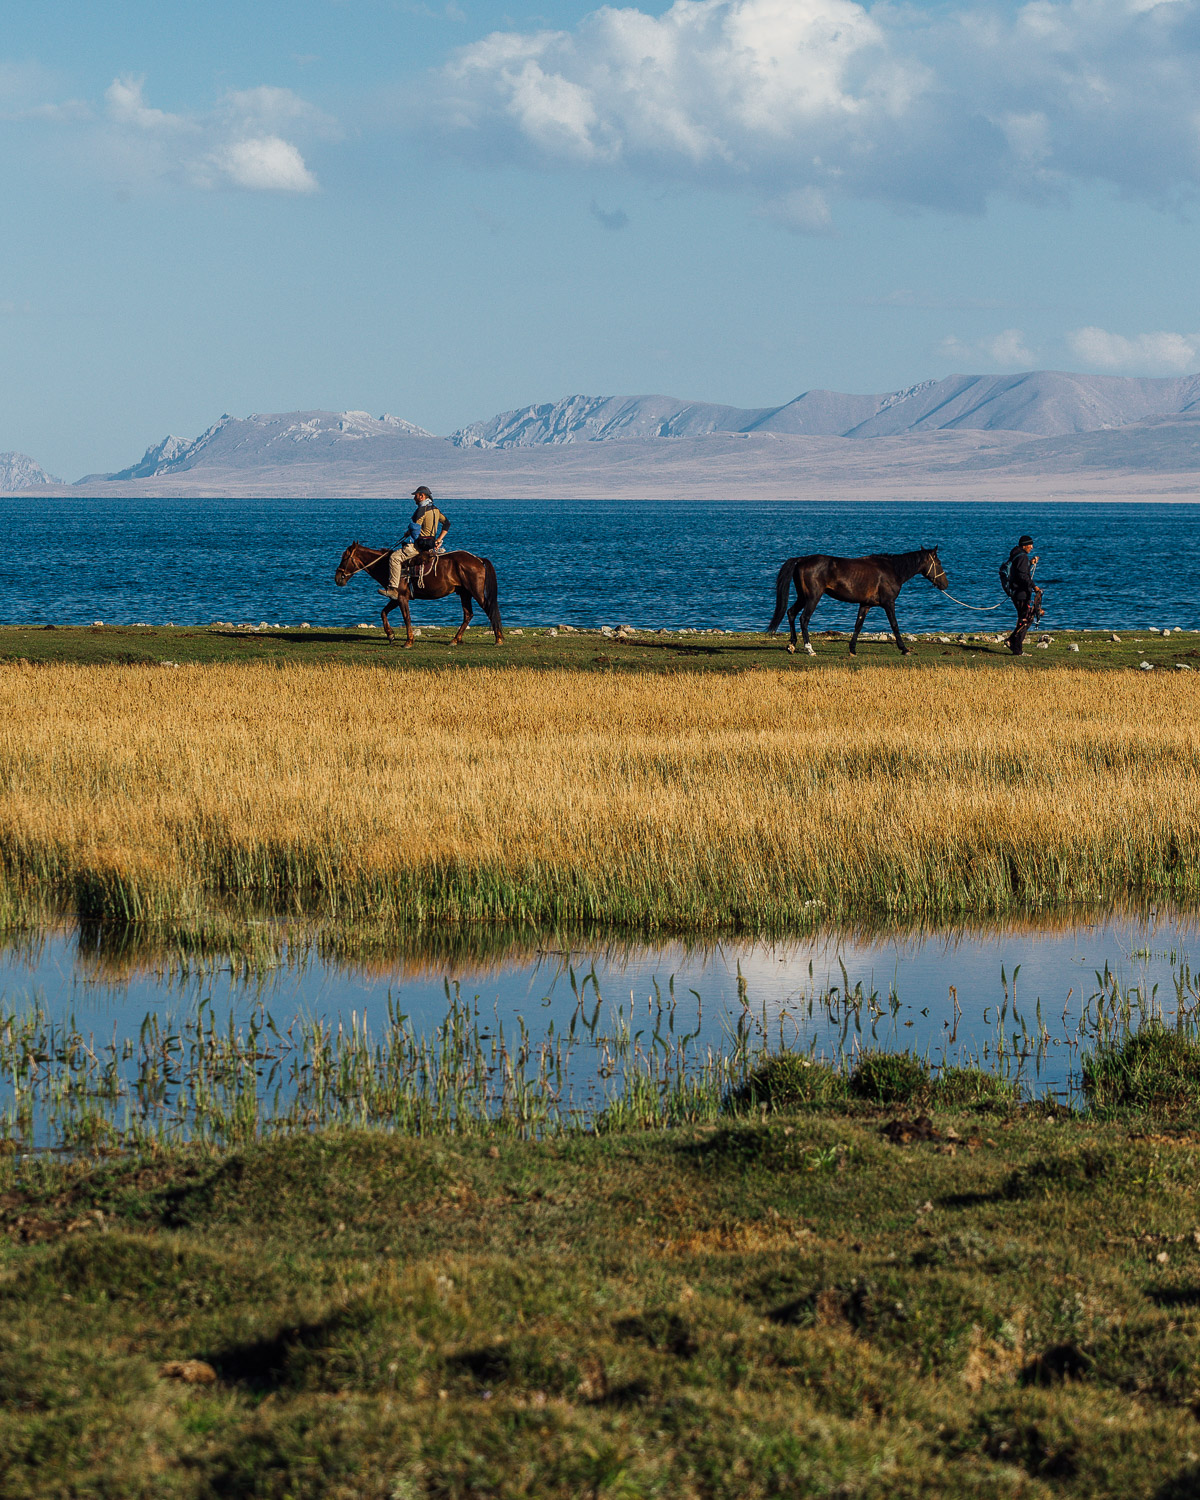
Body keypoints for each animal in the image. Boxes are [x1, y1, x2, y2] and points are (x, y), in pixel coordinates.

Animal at [334, 543, 504, 647]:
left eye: (345, 557)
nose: (337, 578)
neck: (386, 566)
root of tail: (478, 560)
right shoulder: (395, 597)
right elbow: (383, 613)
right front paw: (390, 635)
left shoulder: (402, 597)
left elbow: (406, 618)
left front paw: (408, 641)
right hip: (465, 593)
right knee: (468, 614)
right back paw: (455, 639)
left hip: (475, 592)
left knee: (489, 610)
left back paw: (499, 639)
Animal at [767, 546, 949, 656]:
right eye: (939, 563)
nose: (945, 584)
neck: (893, 570)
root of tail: (802, 560)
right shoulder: (888, 603)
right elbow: (895, 625)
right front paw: (904, 649)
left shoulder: (865, 605)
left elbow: (858, 626)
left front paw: (852, 649)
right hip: (812, 597)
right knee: (804, 619)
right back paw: (809, 649)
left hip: (803, 597)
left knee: (791, 613)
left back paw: (791, 645)